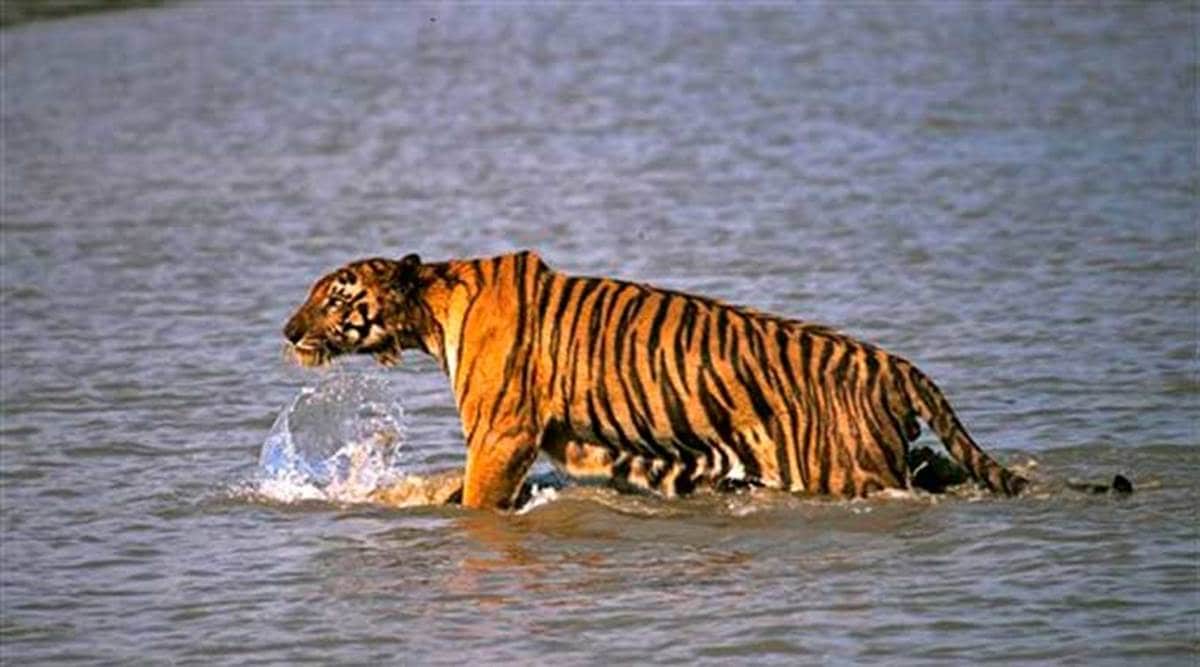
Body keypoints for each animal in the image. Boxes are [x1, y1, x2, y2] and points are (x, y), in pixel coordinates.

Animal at [282, 250, 1028, 510]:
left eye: (335, 296)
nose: (288, 330)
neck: (432, 310)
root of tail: (896, 363)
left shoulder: (502, 432)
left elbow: (476, 498)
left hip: (846, 469)